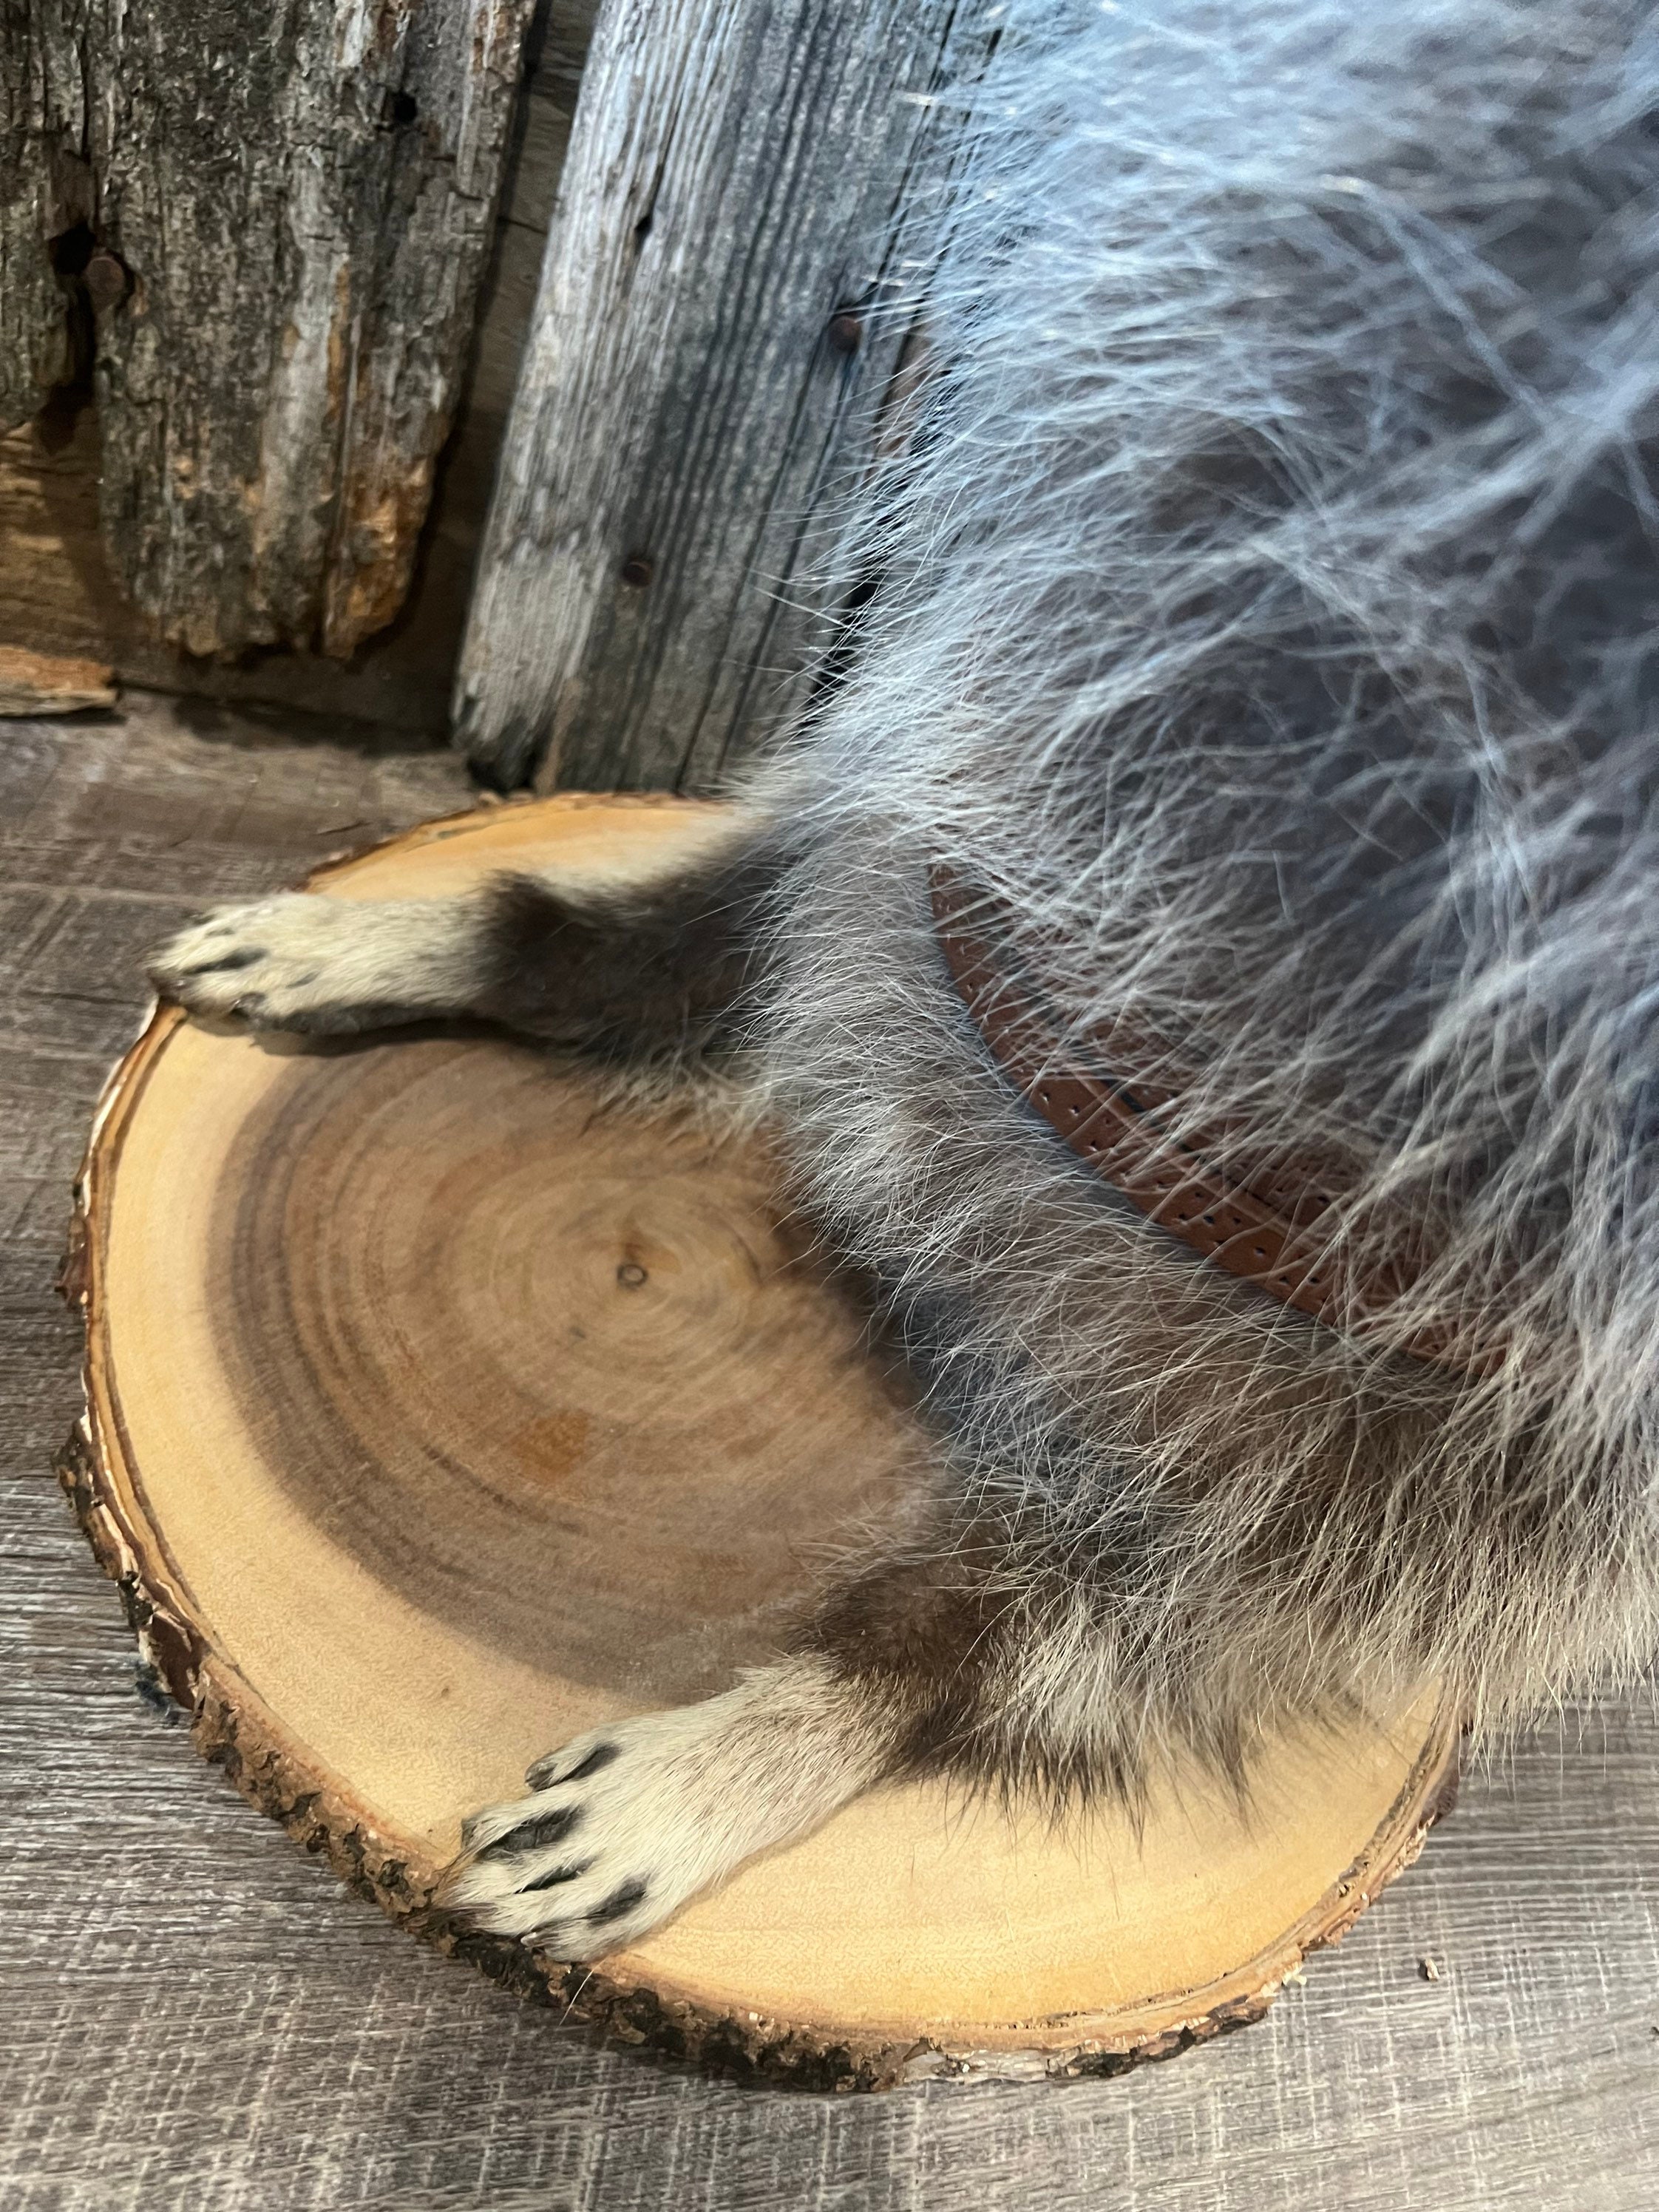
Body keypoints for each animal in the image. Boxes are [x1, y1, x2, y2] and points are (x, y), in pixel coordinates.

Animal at [150, 0, 1659, 1960]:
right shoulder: (954, 819)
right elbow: (749, 902)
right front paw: (472, 927)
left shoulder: (1508, 1420)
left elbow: (1176, 1607)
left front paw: (816, 1708)